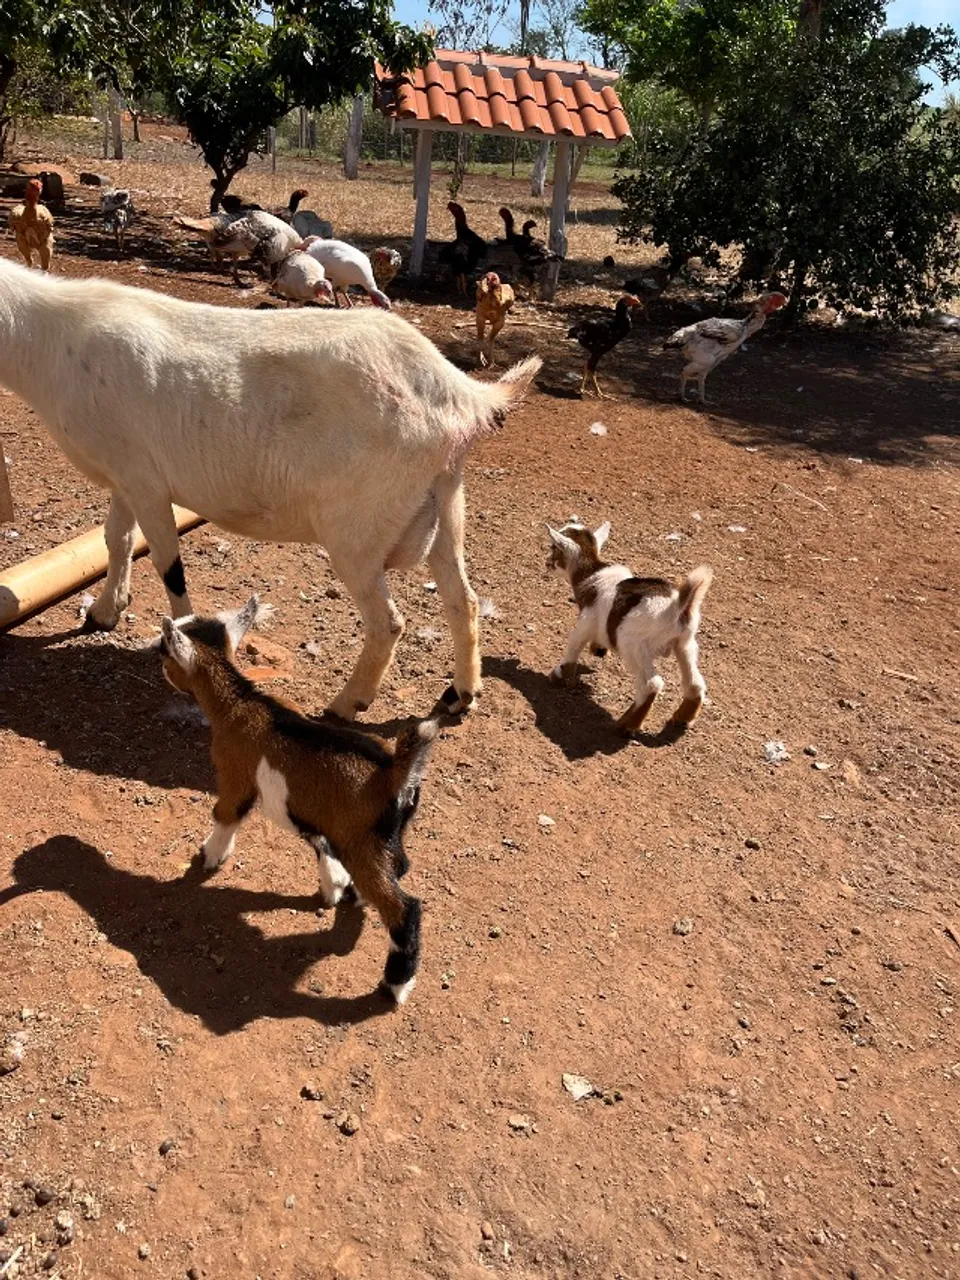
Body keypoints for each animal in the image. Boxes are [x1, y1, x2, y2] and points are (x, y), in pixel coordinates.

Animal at [0, 258, 541, 719]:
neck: (50, 341)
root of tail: (459, 394)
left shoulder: (146, 482)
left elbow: (169, 568)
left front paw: (179, 645)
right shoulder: (125, 474)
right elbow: (117, 540)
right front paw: (104, 612)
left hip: (358, 529)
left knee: (387, 622)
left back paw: (346, 705)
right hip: (446, 505)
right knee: (463, 600)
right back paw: (461, 694)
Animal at [158, 596, 436, 1005]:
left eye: (165, 651)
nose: (157, 660)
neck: (243, 701)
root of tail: (395, 771)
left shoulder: (235, 772)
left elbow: (226, 813)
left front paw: (210, 856)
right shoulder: (315, 813)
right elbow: (317, 839)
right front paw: (332, 884)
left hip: (361, 843)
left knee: (404, 908)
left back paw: (395, 985)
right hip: (387, 836)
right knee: (400, 866)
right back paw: (355, 896)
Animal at [546, 520, 713, 736]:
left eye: (554, 547)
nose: (547, 562)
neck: (591, 575)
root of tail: (678, 606)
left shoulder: (585, 622)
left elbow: (573, 646)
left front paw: (558, 676)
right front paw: (599, 649)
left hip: (632, 643)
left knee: (651, 684)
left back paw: (627, 725)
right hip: (685, 643)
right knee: (694, 683)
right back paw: (682, 718)